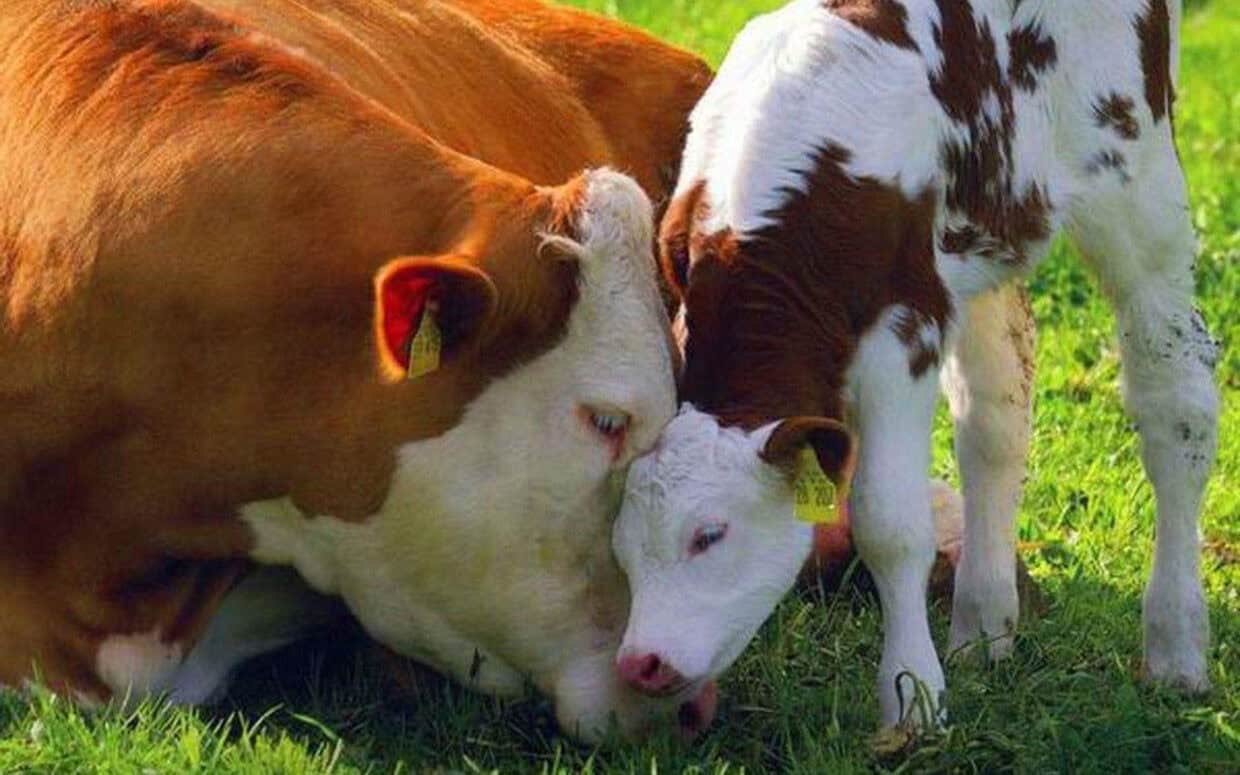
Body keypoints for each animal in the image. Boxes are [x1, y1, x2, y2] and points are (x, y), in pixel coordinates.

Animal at [611, 0, 1217, 734]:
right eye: (620, 546)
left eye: (709, 534)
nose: (640, 663)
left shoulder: (903, 331)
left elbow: (888, 522)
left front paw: (913, 699)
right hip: (985, 241)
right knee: (996, 415)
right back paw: (983, 627)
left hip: (1136, 178)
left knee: (1176, 396)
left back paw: (1176, 648)